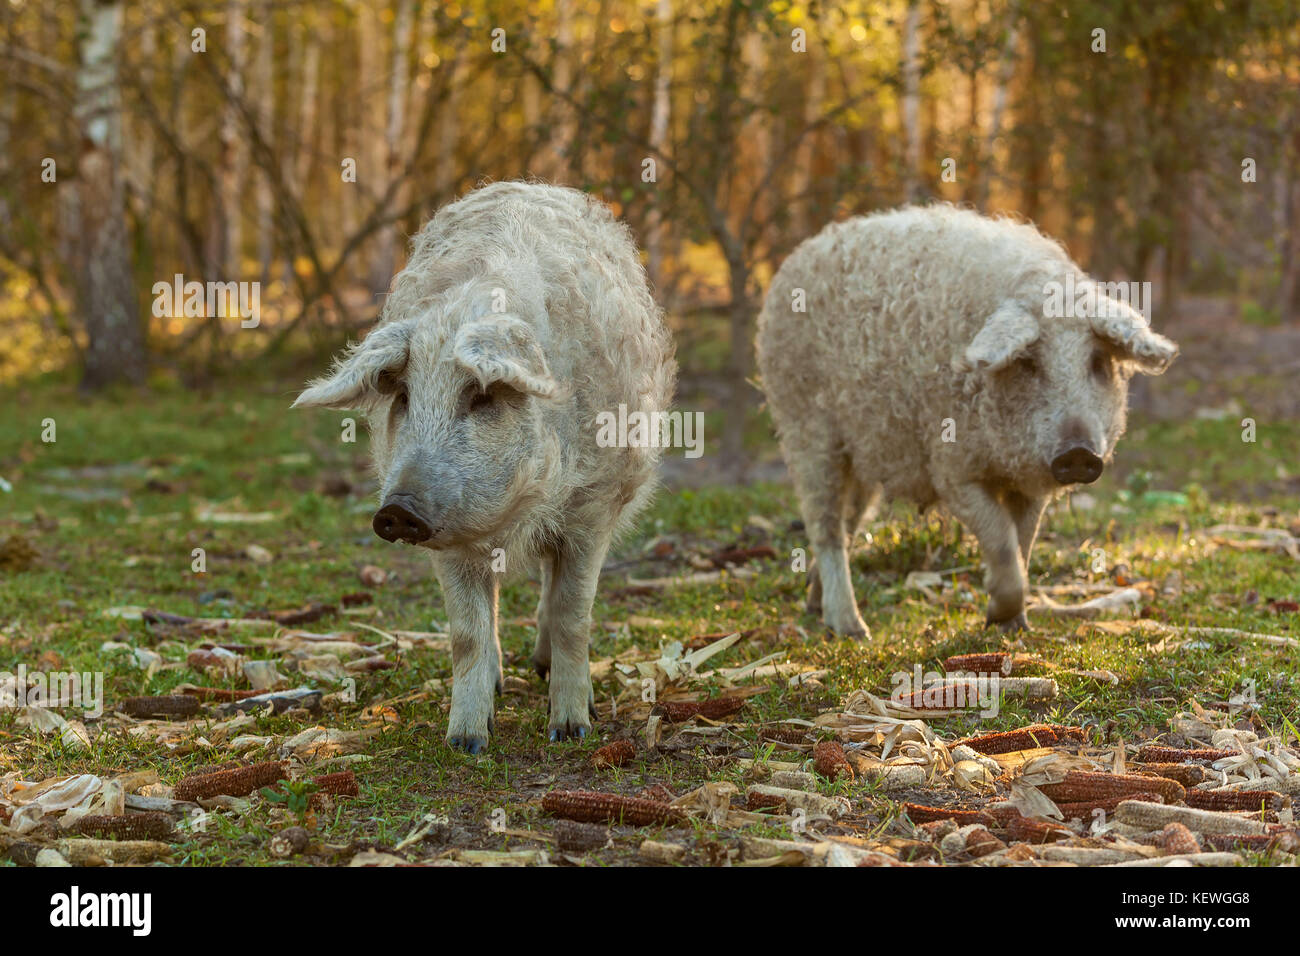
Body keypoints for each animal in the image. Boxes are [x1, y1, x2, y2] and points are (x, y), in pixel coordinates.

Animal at [294, 182, 676, 751]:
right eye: (403, 397)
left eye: (481, 396)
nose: (398, 510)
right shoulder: (448, 538)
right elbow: (466, 634)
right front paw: (466, 743)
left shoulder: (594, 507)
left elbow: (573, 614)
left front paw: (571, 731)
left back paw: (544, 671)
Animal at [755, 204, 1177, 635]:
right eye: (1029, 362)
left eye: (1097, 362)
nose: (1078, 452)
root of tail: (795, 260)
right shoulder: (953, 469)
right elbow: (1002, 544)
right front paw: (1001, 618)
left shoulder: (1032, 485)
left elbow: (1023, 546)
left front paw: (1015, 625)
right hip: (806, 431)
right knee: (825, 528)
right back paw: (853, 629)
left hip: (860, 454)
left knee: (847, 523)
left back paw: (815, 606)